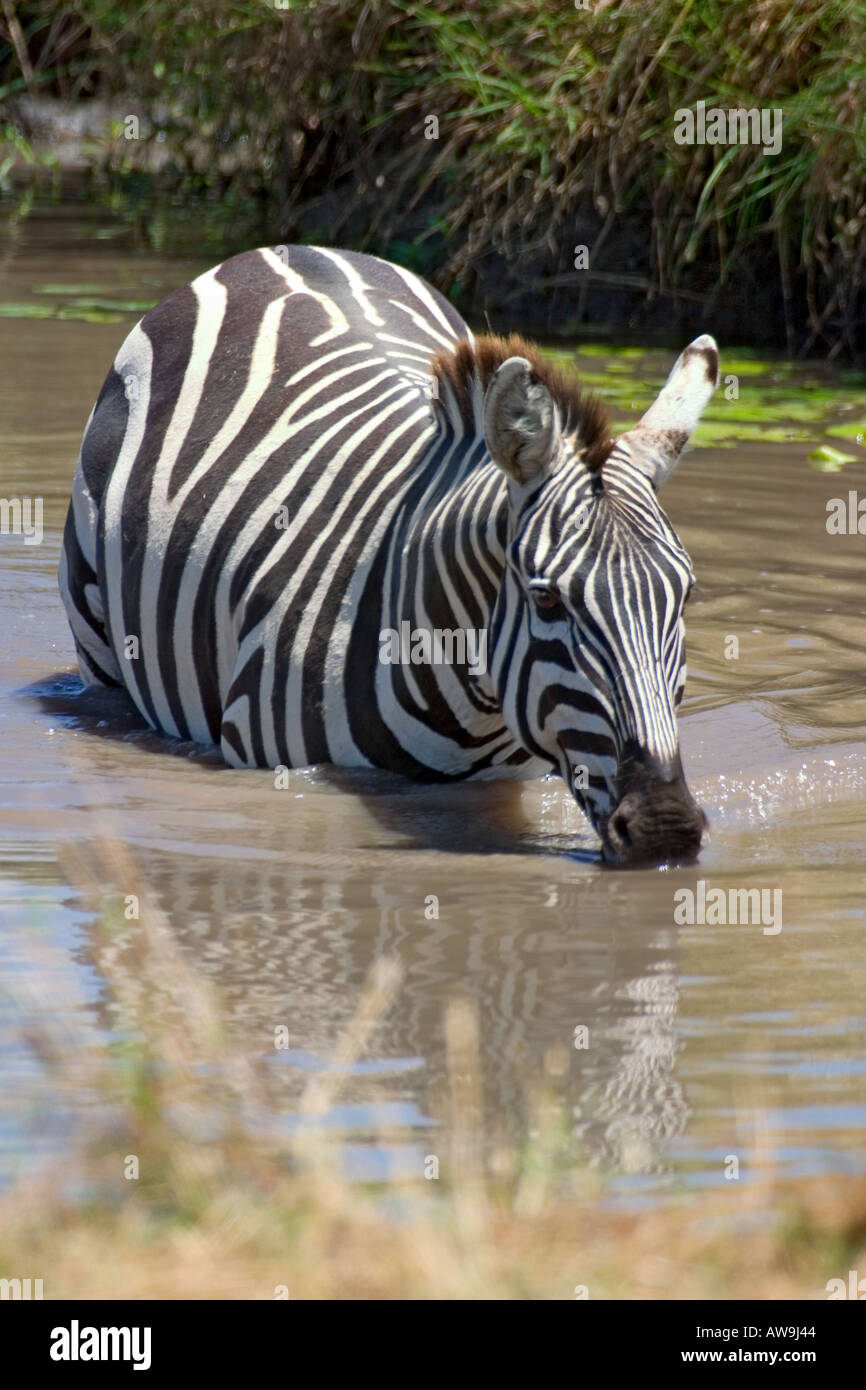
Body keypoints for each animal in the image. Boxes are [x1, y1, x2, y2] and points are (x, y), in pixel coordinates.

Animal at [59, 244, 718, 865]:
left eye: (684, 595)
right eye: (547, 600)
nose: (665, 828)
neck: (471, 717)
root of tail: (277, 252)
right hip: (100, 644)